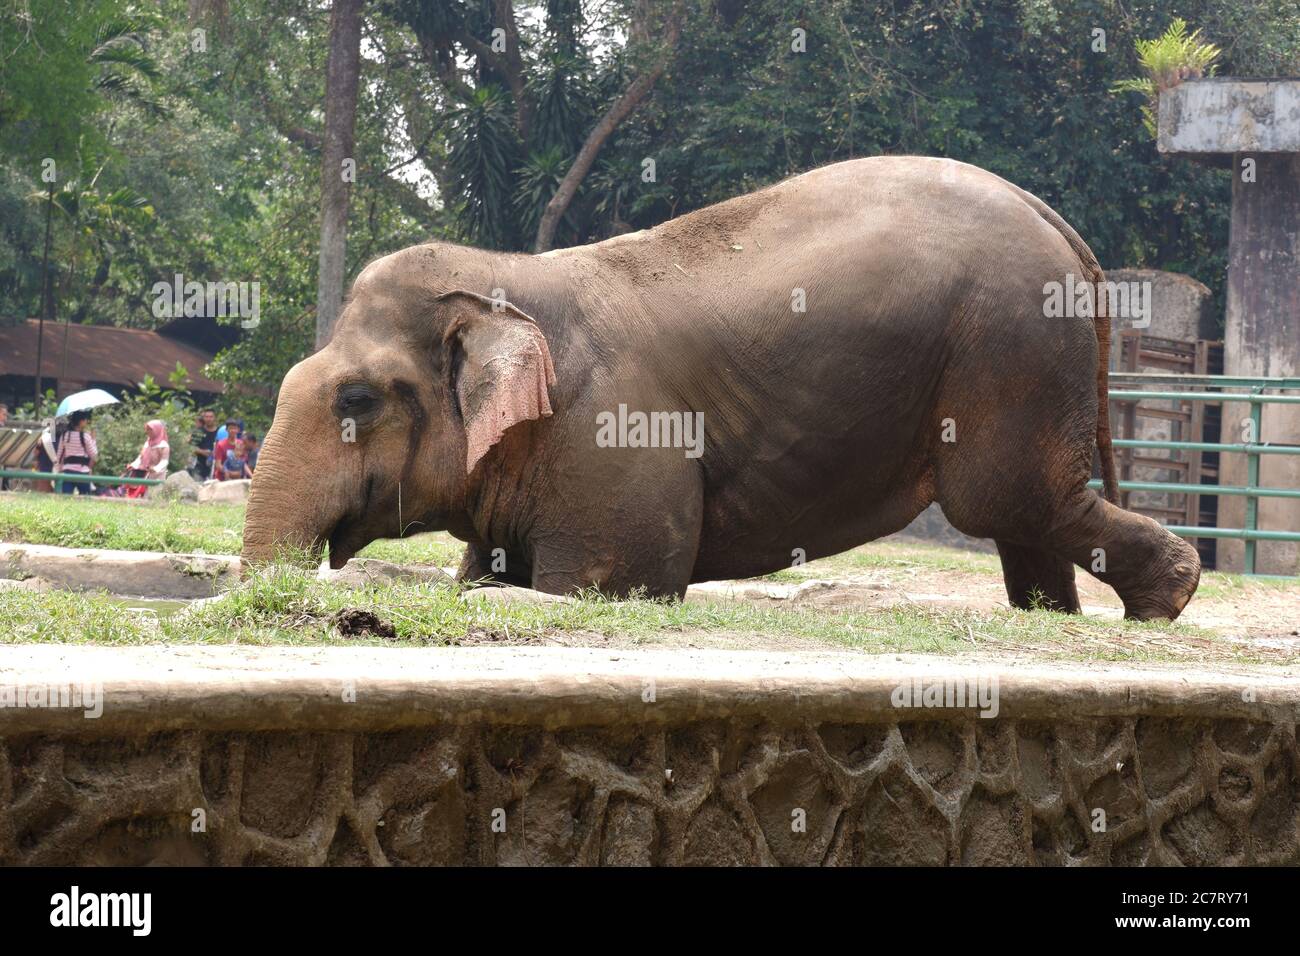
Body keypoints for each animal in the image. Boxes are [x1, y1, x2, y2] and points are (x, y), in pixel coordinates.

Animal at [241, 156, 1201, 620]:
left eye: (356, 401)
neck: (504, 279)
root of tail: (1065, 231)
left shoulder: (613, 441)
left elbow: (605, 587)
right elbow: (484, 577)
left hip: (1007, 350)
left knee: (1007, 498)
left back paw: (1165, 601)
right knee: (1024, 517)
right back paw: (1060, 617)